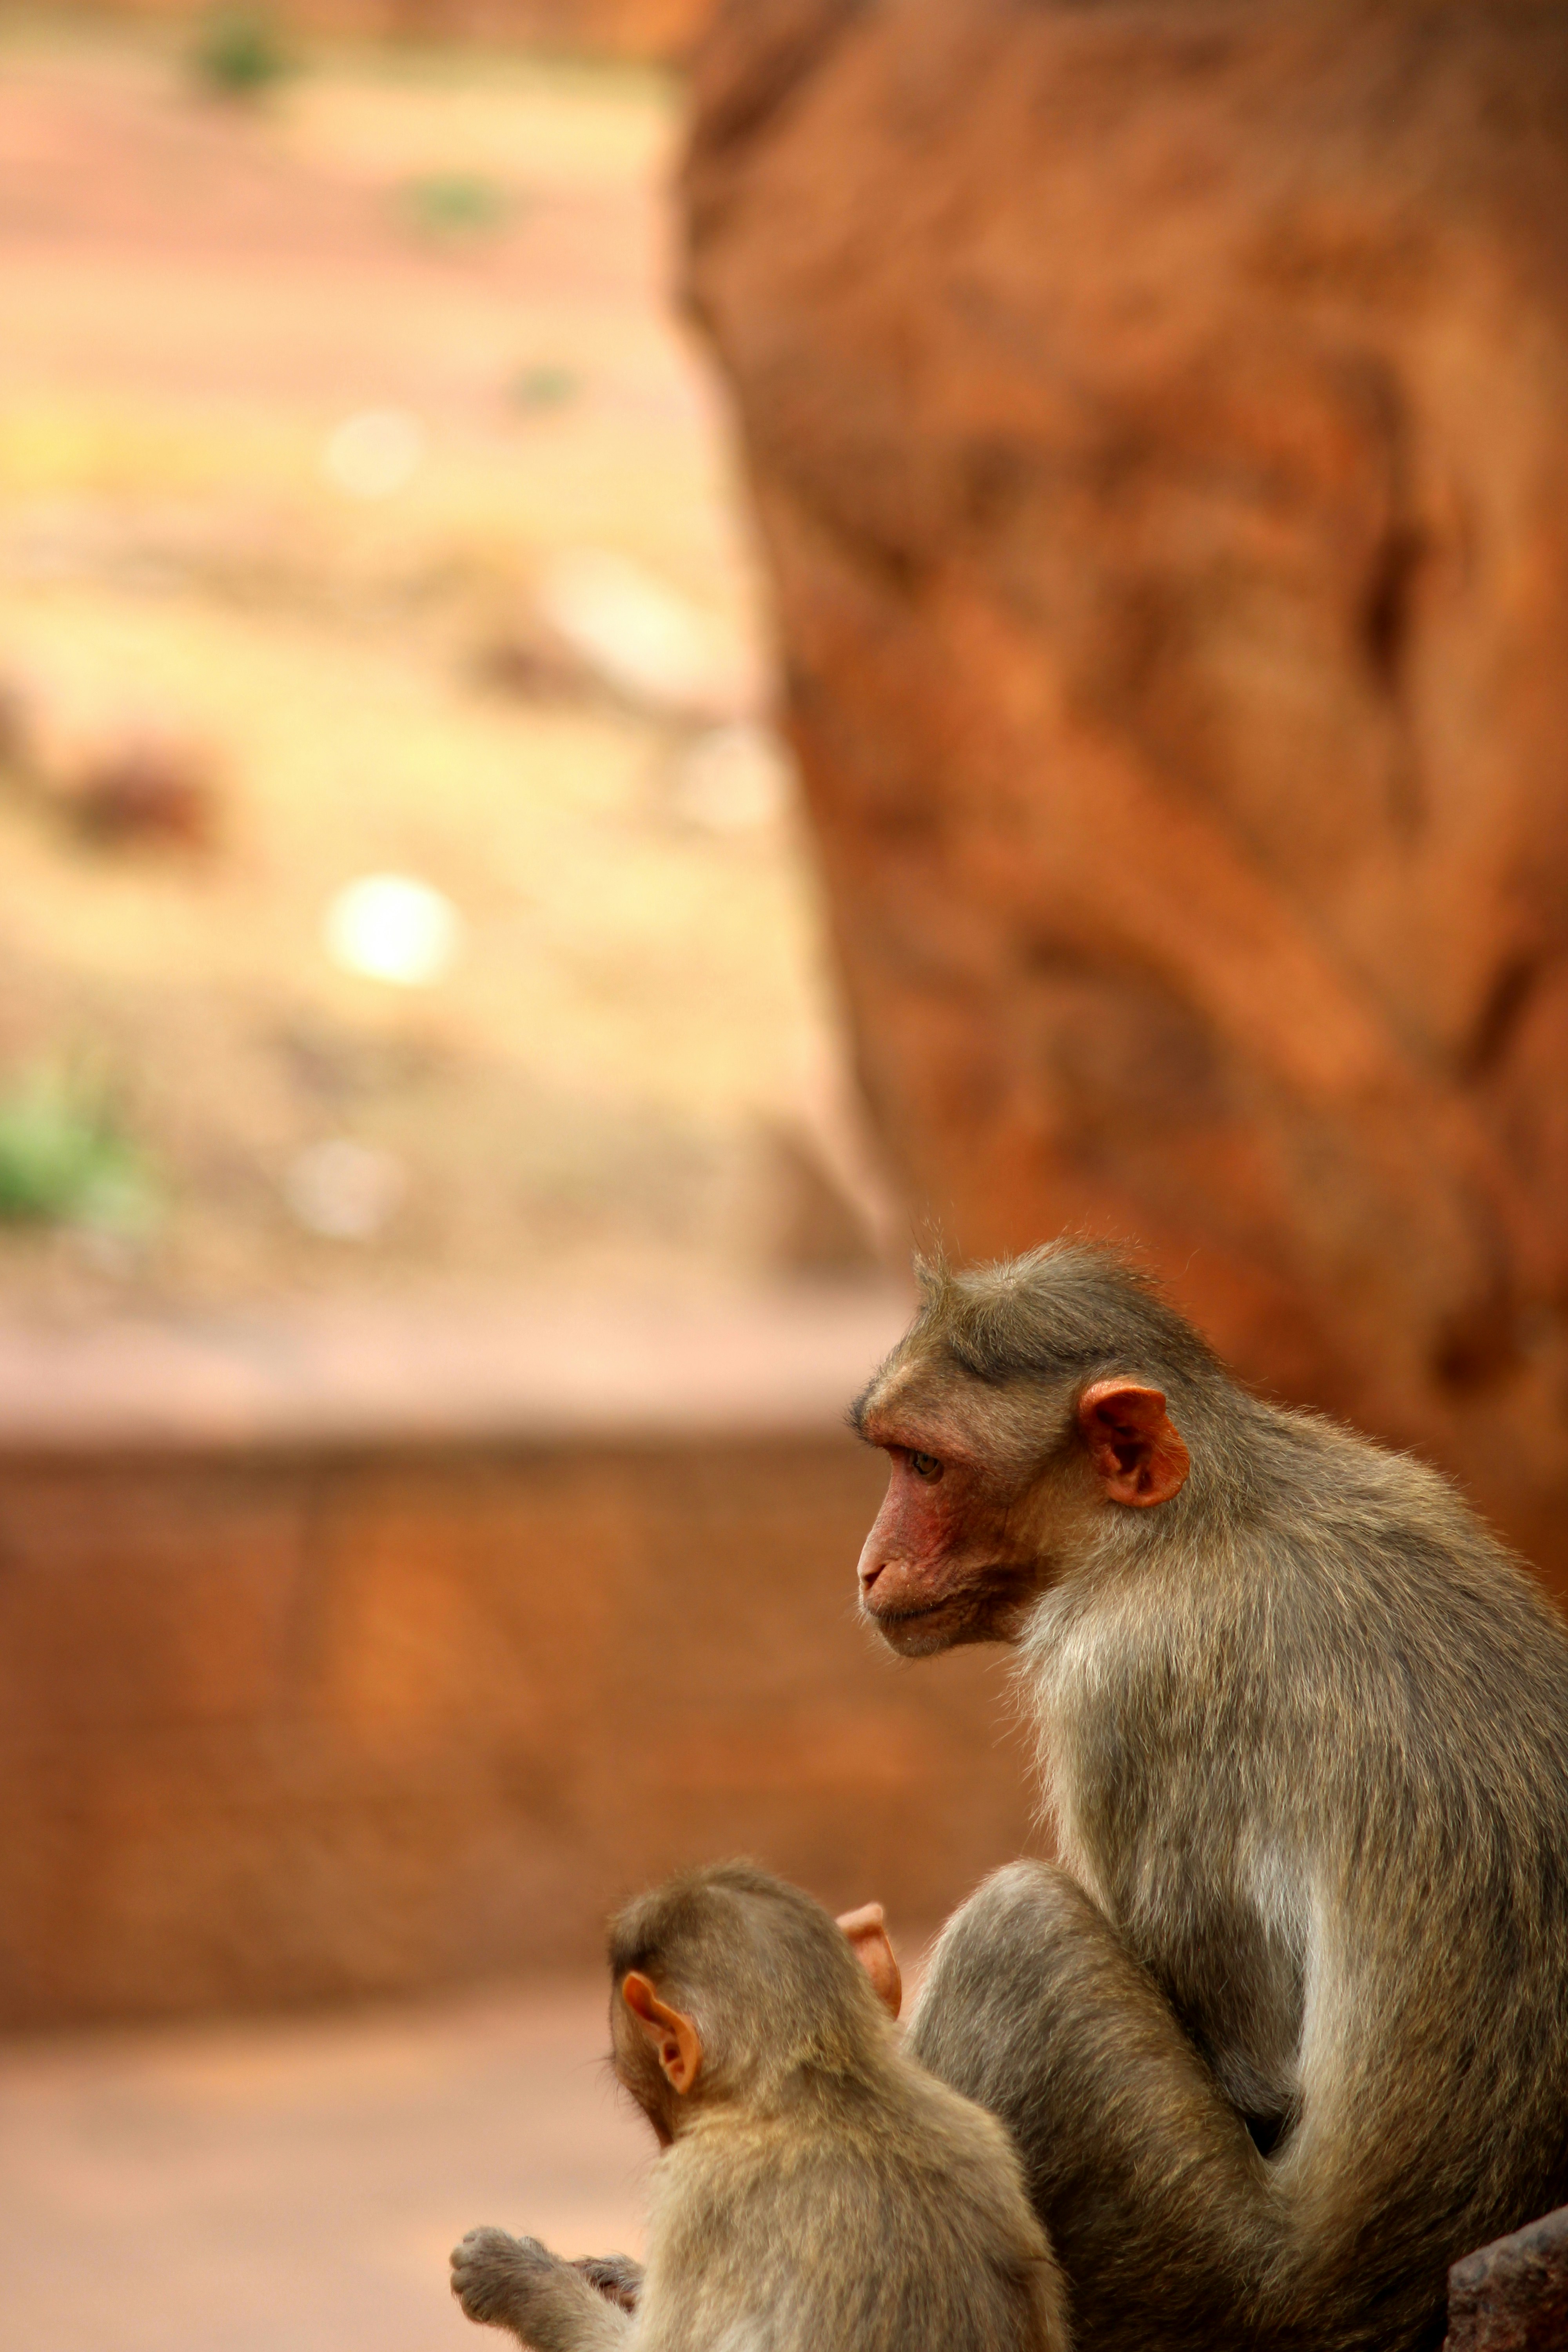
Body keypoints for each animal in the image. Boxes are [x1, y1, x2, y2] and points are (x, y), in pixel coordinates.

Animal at [845, 1242, 1568, 2352]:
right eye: (894, 1455)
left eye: (925, 1466)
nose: (868, 1566)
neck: (1187, 1522)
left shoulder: (1115, 1678)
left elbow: (1256, 2072)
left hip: (1200, 2279)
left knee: (1019, 1933)